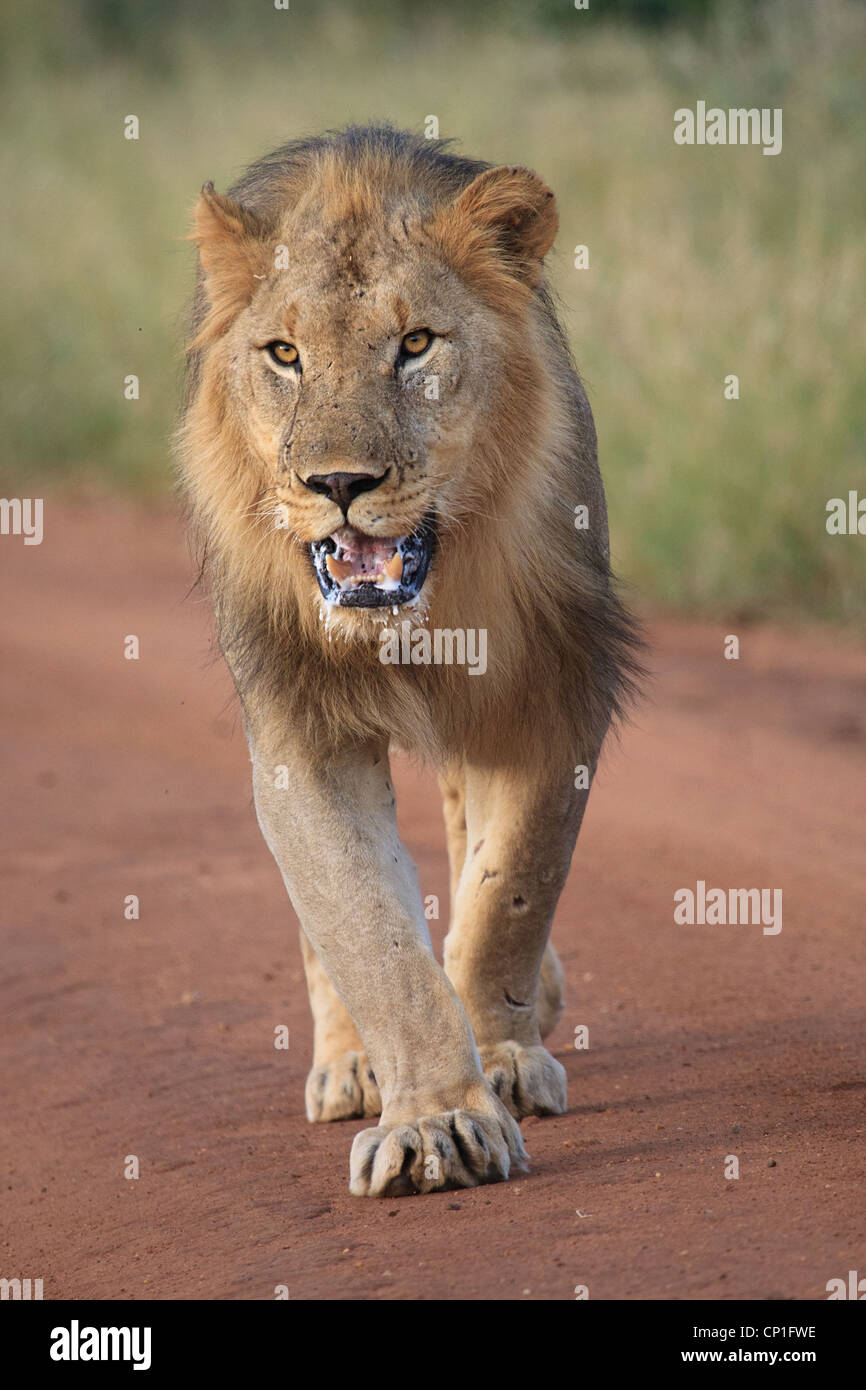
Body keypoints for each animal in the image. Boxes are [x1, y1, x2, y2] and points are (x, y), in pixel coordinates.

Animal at [177, 124, 641, 1198]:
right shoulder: (300, 733)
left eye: (417, 345)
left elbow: (512, 885)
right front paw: (434, 1120)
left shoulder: (555, 690)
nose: (339, 483)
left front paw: (501, 1055)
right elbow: (369, 933)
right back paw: (351, 1065)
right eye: (285, 354)